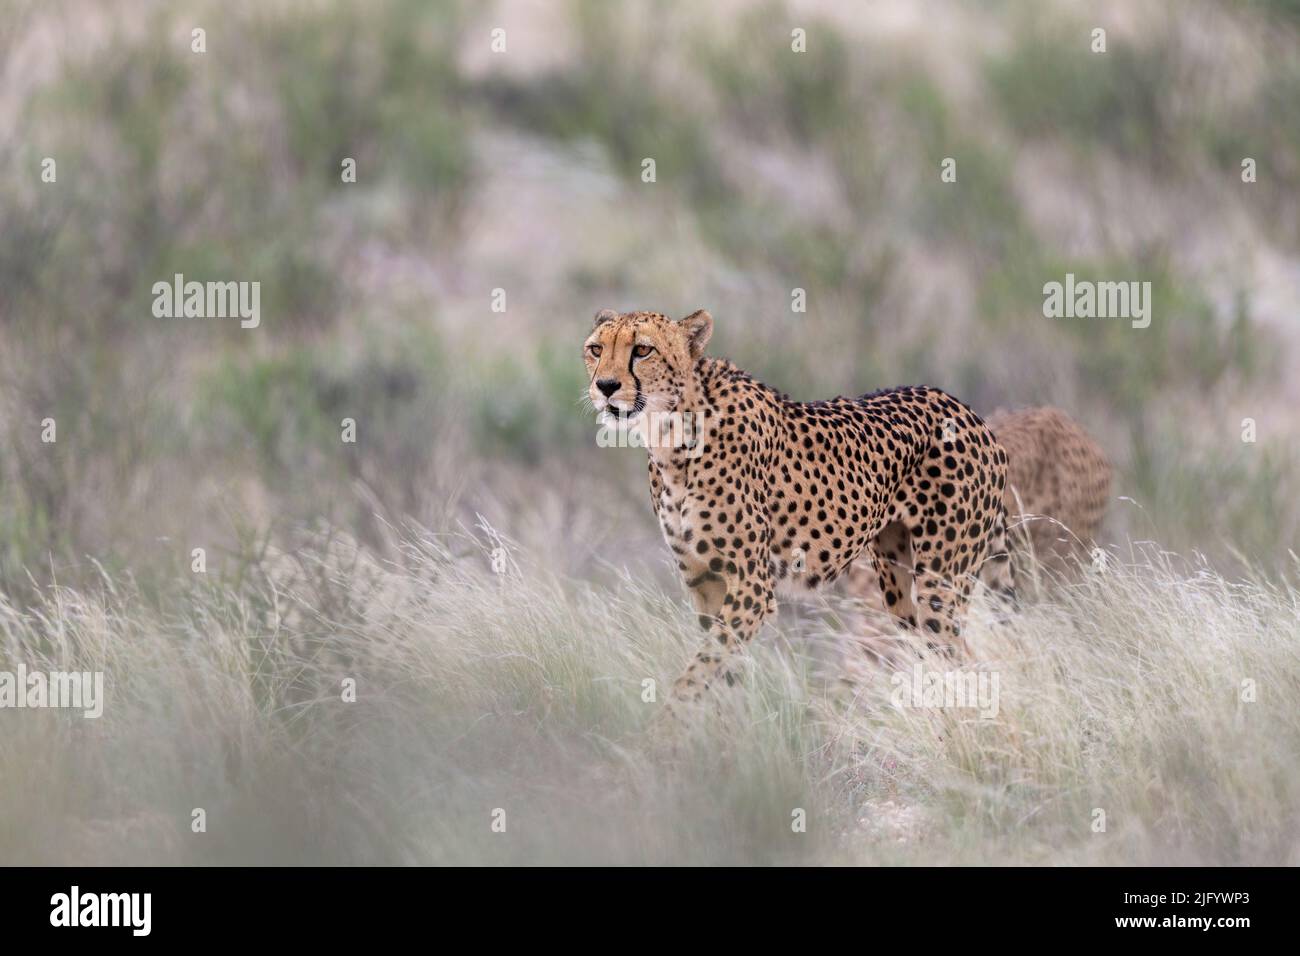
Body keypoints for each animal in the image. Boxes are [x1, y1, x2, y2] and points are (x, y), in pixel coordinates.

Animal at [583, 308, 1014, 703]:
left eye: (642, 350)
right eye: (596, 349)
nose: (605, 385)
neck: (671, 434)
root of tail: (966, 410)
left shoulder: (751, 587)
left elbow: (694, 677)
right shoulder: (706, 584)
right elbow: (720, 676)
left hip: (940, 588)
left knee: (967, 662)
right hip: (899, 586)